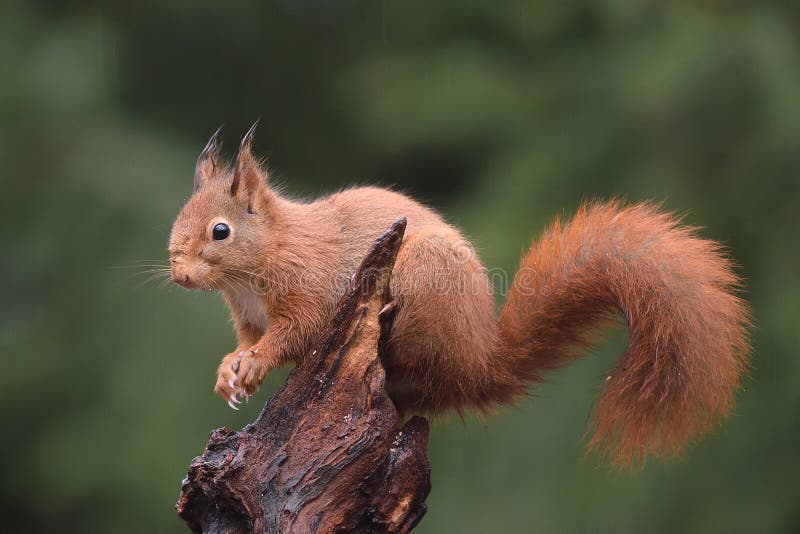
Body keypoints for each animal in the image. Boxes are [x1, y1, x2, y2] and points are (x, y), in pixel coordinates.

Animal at [168, 124, 750, 467]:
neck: (266, 254)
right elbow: (248, 340)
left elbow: (297, 331)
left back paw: (388, 317)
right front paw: (230, 371)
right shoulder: (248, 317)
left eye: (220, 231)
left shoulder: (309, 288)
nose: (177, 273)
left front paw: (255, 364)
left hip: (425, 279)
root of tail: (479, 362)